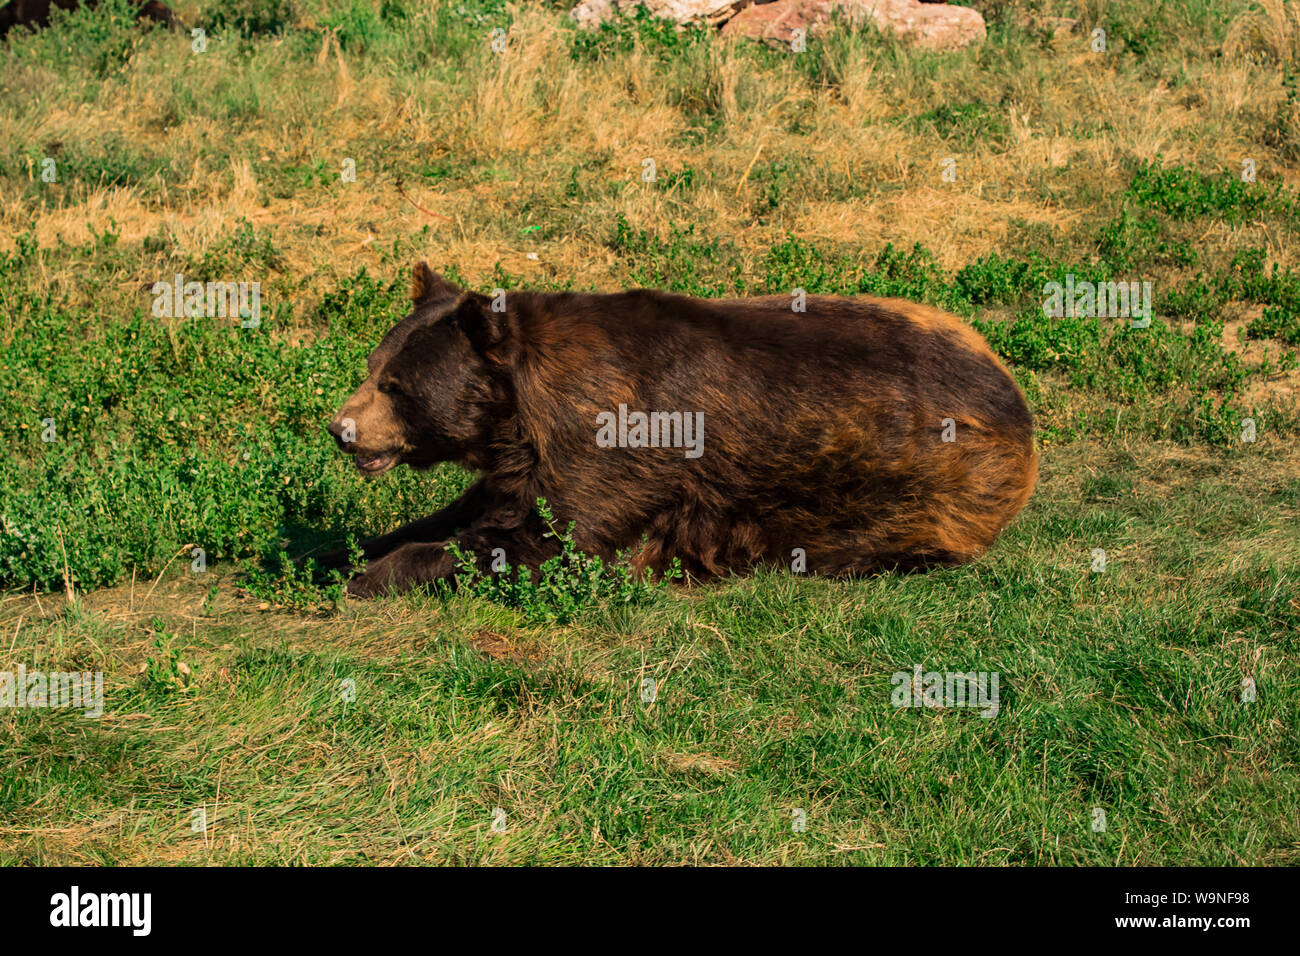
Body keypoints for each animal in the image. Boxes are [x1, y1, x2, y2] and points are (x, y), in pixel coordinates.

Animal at [317, 262, 1037, 597]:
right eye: (374, 366)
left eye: (395, 386)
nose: (340, 428)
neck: (522, 414)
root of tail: (1017, 396)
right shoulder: (525, 461)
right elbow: (477, 509)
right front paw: (337, 552)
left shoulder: (613, 450)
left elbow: (550, 542)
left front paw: (368, 578)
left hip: (927, 486)